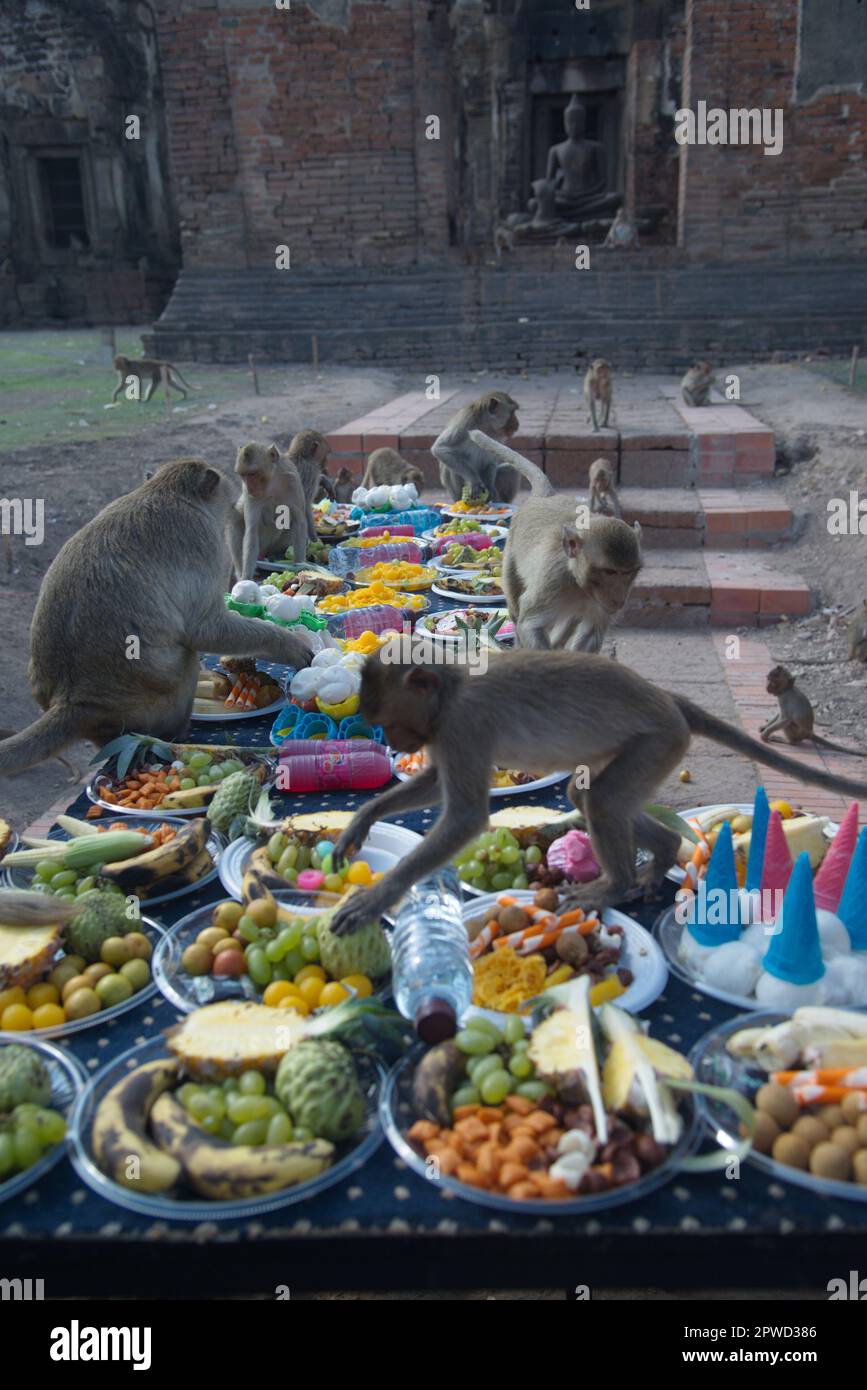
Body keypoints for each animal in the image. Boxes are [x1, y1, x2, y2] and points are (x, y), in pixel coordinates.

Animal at [0, 460, 311, 778]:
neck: (163, 490)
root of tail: (73, 702)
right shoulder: (205, 541)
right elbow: (205, 628)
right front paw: (289, 644)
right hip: (156, 704)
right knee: (187, 656)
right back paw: (175, 733)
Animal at [229, 442, 312, 580]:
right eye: (243, 475)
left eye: (252, 474)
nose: (250, 488)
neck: (272, 483)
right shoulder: (248, 494)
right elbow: (251, 531)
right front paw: (246, 577)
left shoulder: (293, 481)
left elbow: (299, 522)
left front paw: (300, 566)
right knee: (235, 518)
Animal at [323, 641, 867, 934]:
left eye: (389, 723)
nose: (395, 742)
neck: (452, 687)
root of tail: (669, 701)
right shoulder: (444, 730)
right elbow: (434, 783)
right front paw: (362, 821)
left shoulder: (462, 724)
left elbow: (465, 817)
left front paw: (375, 900)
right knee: (590, 797)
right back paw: (662, 852)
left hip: (660, 742)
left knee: (601, 799)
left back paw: (614, 886)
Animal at [469, 431, 641, 654]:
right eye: (610, 572)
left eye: (628, 573)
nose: (619, 598)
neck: (579, 584)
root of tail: (545, 496)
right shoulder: (553, 581)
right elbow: (529, 625)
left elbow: (591, 633)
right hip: (511, 554)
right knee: (516, 606)